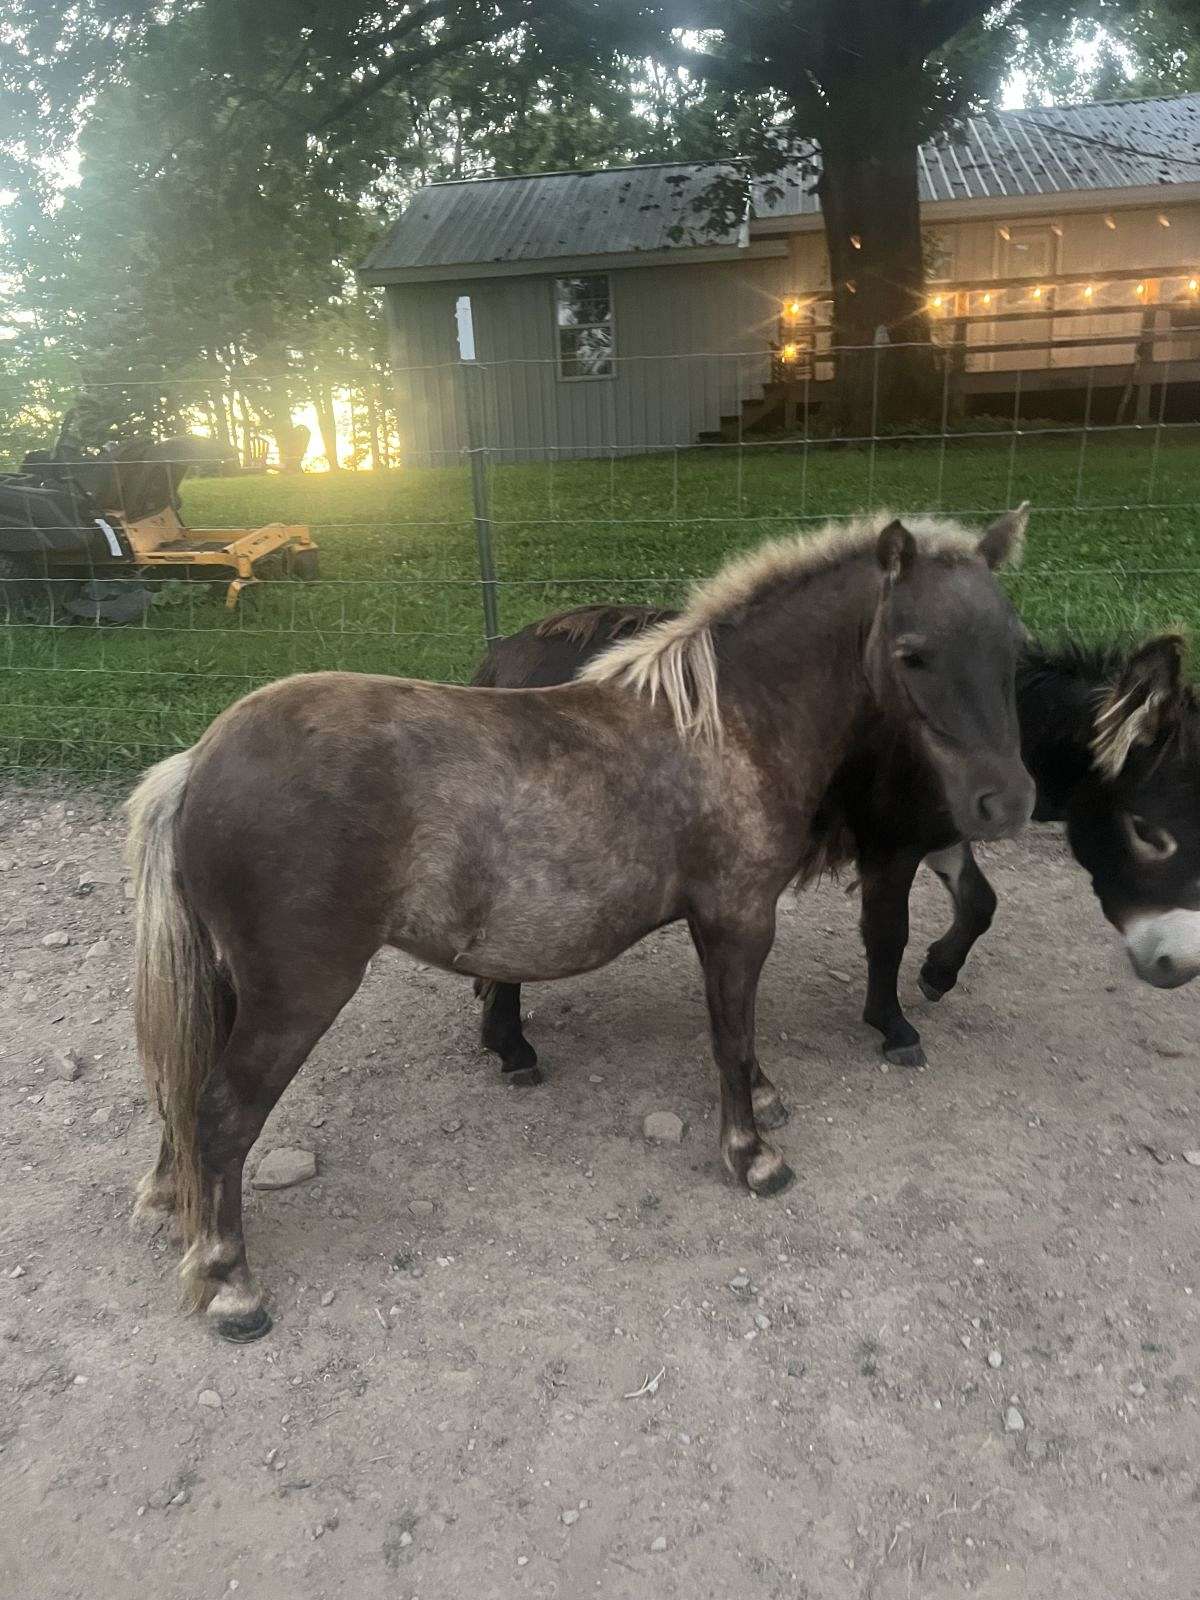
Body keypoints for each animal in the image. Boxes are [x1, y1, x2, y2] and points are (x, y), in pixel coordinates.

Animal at [127, 510, 1033, 1341]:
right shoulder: (739, 915)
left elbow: (740, 1035)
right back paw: (232, 1285)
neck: (728, 723)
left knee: (187, 1093)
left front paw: (767, 1103)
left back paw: (175, 1202)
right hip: (296, 997)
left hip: (232, 985)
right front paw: (753, 1157)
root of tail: (198, 762)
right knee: (222, 1114)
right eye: (913, 654)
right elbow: (732, 1038)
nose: (1006, 803)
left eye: (1014, 649)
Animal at [473, 596, 1200, 1074]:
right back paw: (511, 1046)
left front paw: (938, 974)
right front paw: (893, 1026)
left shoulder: (938, 828)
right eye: (1145, 830)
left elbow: (980, 904)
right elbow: (886, 933)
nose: (1180, 970)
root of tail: (501, 658)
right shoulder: (890, 841)